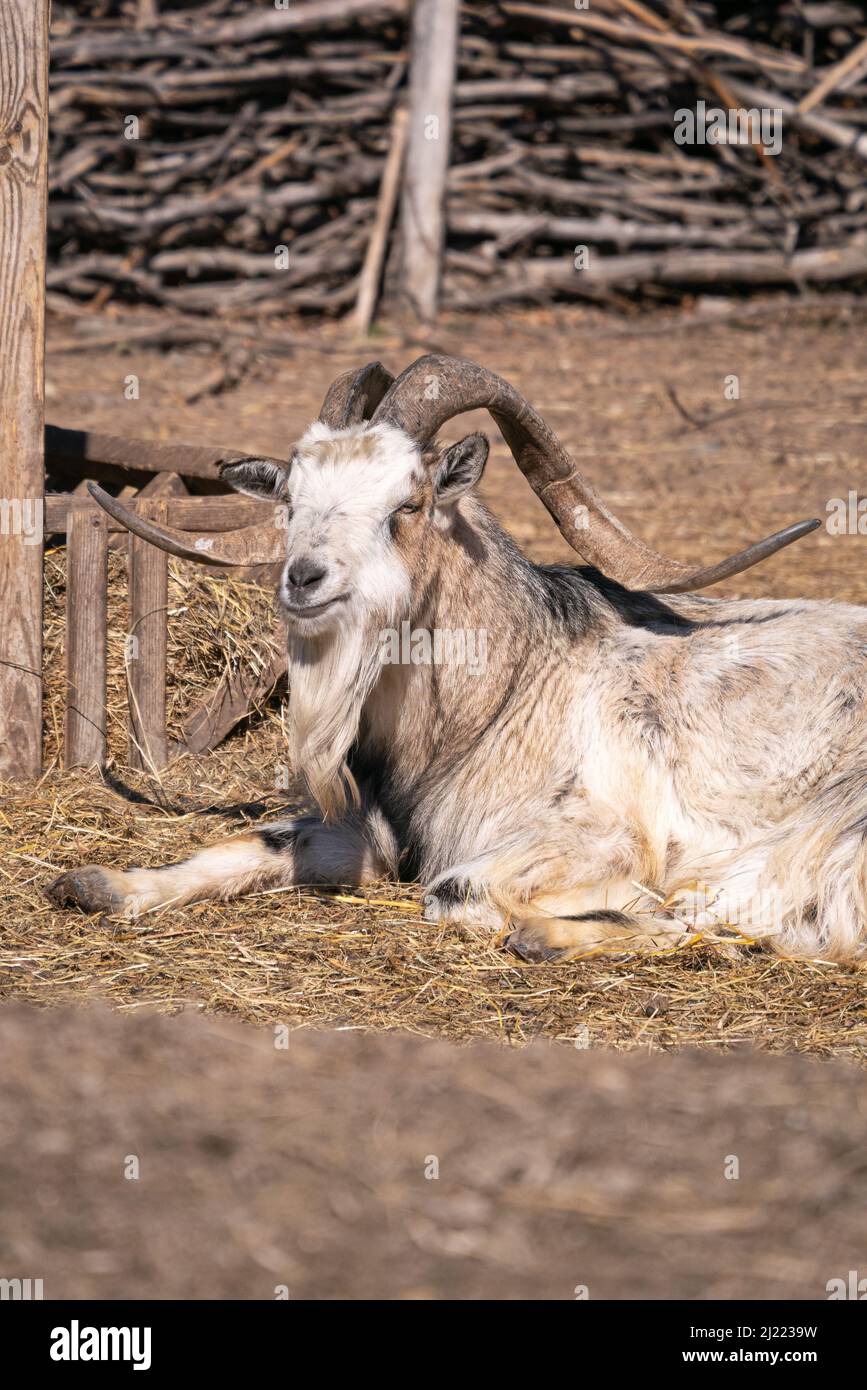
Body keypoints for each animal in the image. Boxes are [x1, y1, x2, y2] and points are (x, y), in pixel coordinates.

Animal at [48, 354, 867, 963]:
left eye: (406, 504)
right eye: (291, 500)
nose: (303, 578)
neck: (512, 690)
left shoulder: (596, 834)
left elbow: (452, 891)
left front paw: (602, 904)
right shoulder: (379, 832)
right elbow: (251, 845)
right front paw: (100, 886)